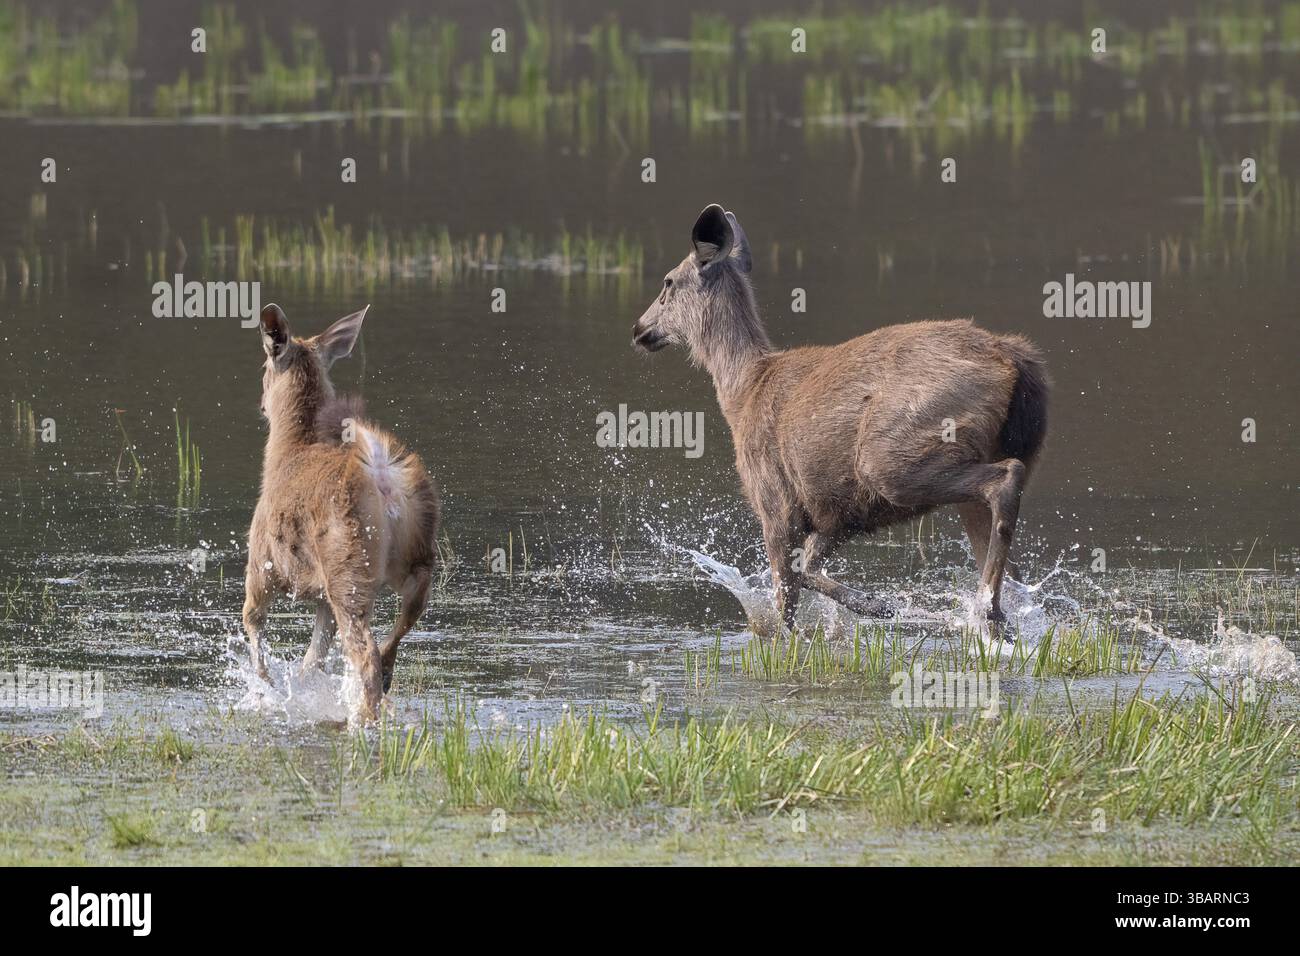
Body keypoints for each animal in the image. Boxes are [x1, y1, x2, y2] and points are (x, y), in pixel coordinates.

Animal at [243, 303, 440, 722]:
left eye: (264, 366)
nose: (261, 401)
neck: (287, 452)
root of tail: (381, 476)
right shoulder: (320, 598)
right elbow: (311, 660)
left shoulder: (262, 564)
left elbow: (253, 625)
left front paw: (267, 690)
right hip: (416, 556)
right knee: (404, 622)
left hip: (347, 566)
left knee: (365, 654)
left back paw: (363, 717)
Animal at [631, 204, 1049, 636]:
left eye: (667, 282)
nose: (639, 328)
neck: (743, 394)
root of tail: (1015, 361)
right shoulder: (836, 515)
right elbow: (809, 568)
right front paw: (880, 605)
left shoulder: (774, 500)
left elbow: (786, 597)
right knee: (1006, 548)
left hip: (894, 457)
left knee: (1006, 479)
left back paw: (987, 611)